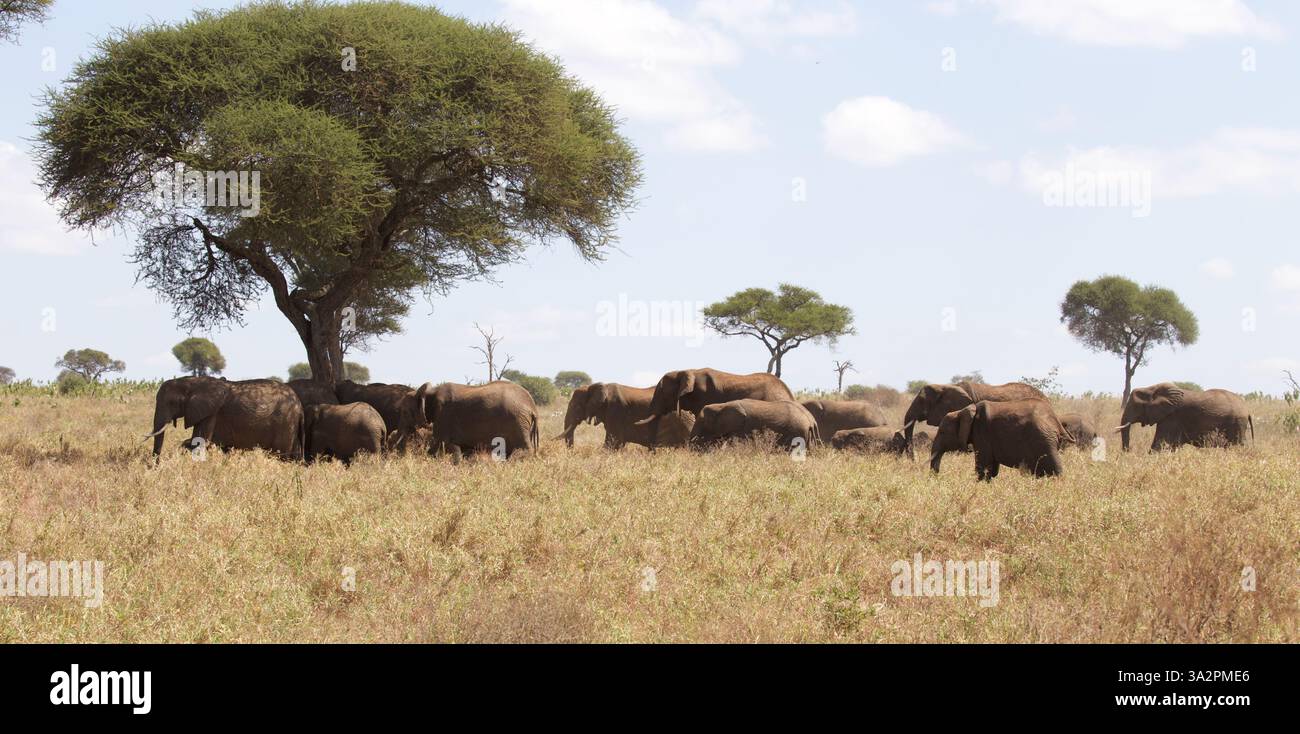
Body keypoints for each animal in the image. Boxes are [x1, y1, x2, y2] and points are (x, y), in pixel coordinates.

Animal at [147, 376, 303, 460]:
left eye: (171, 403)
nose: (155, 465)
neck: (191, 381)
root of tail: (299, 405)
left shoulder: (211, 412)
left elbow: (201, 441)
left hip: (285, 421)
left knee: (280, 453)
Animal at [930, 399, 1070, 480]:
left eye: (942, 432)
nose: (937, 476)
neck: (962, 411)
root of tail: (1057, 422)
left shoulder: (982, 432)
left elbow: (983, 468)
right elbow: (992, 470)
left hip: (1043, 440)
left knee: (1054, 469)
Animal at [1118, 383, 1253, 452]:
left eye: (1136, 406)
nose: (1128, 451)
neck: (1152, 388)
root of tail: (1247, 410)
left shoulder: (1171, 417)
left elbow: (1160, 444)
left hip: (1236, 422)